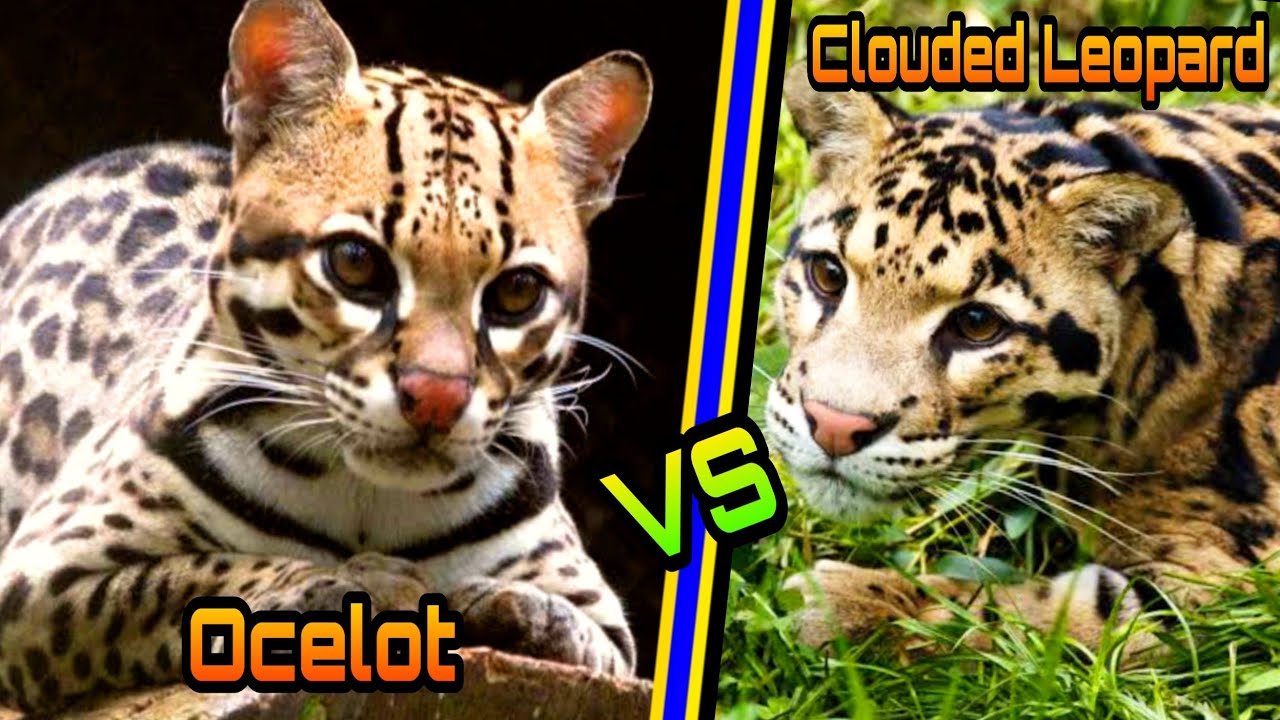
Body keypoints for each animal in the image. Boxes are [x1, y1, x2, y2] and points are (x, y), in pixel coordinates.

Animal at [0, 0, 653, 711]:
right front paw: (354, 584)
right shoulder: (39, 572)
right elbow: (186, 581)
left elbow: (568, 627)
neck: (366, 498)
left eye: (517, 292)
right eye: (355, 262)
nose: (437, 398)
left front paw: (508, 606)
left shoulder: (607, 628)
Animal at [768, 62, 1280, 656]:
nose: (834, 426)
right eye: (828, 274)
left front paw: (853, 606)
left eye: (977, 324)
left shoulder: (1229, 580)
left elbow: (1034, 618)